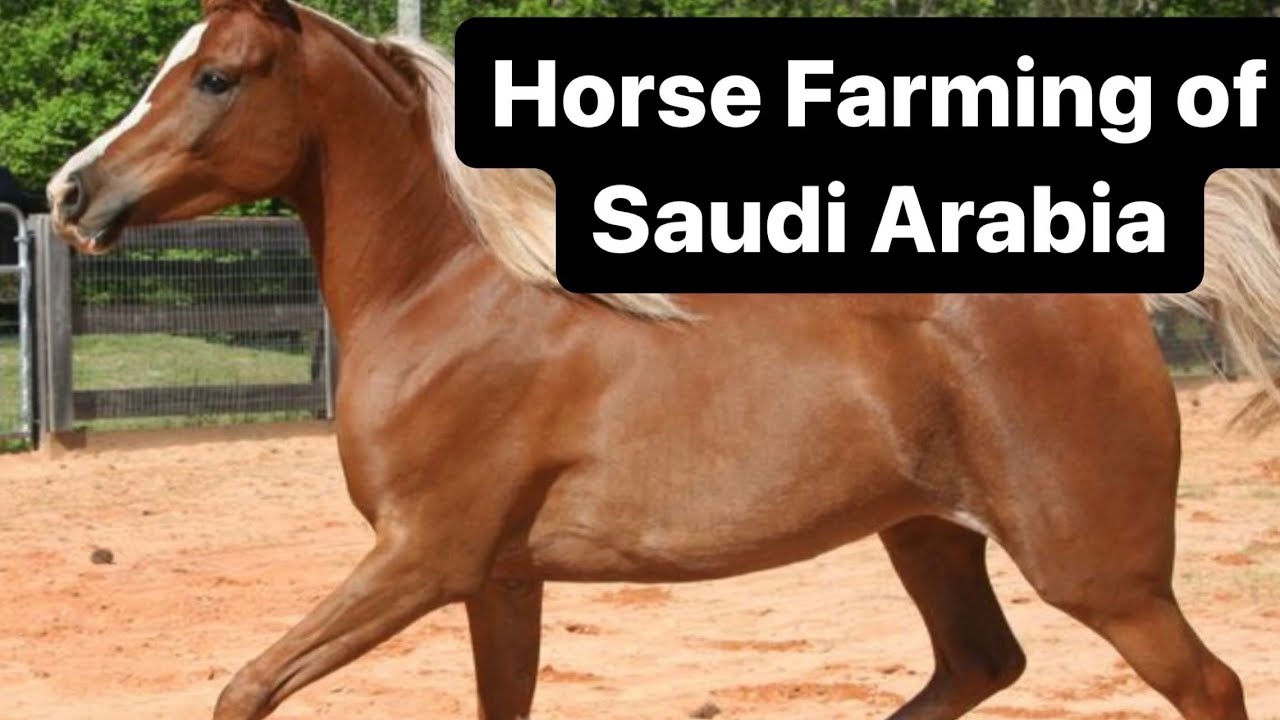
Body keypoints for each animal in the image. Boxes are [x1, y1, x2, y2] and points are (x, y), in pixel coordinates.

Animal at [43, 2, 1274, 719]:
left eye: (217, 77)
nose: (69, 193)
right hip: (928, 535)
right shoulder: (501, 578)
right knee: (980, 664)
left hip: (1102, 574)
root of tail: (1114, 298)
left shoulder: (422, 559)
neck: (449, 294)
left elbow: (245, 689)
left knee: (1206, 684)